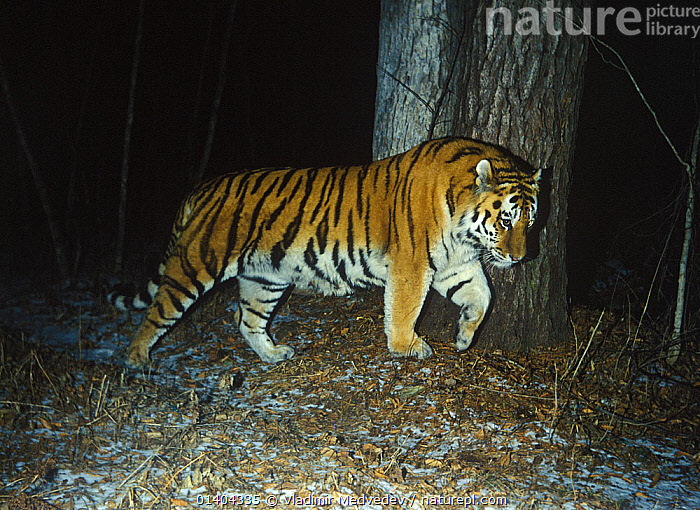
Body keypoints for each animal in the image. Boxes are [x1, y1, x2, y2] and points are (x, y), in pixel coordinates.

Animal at [108, 137, 541, 368]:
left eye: (531, 222)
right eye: (506, 220)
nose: (520, 259)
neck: (464, 232)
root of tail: (203, 189)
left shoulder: (456, 265)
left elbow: (483, 297)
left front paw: (465, 337)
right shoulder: (413, 264)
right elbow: (404, 309)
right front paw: (407, 347)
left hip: (264, 278)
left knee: (248, 321)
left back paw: (273, 354)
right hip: (196, 265)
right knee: (157, 313)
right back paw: (136, 359)